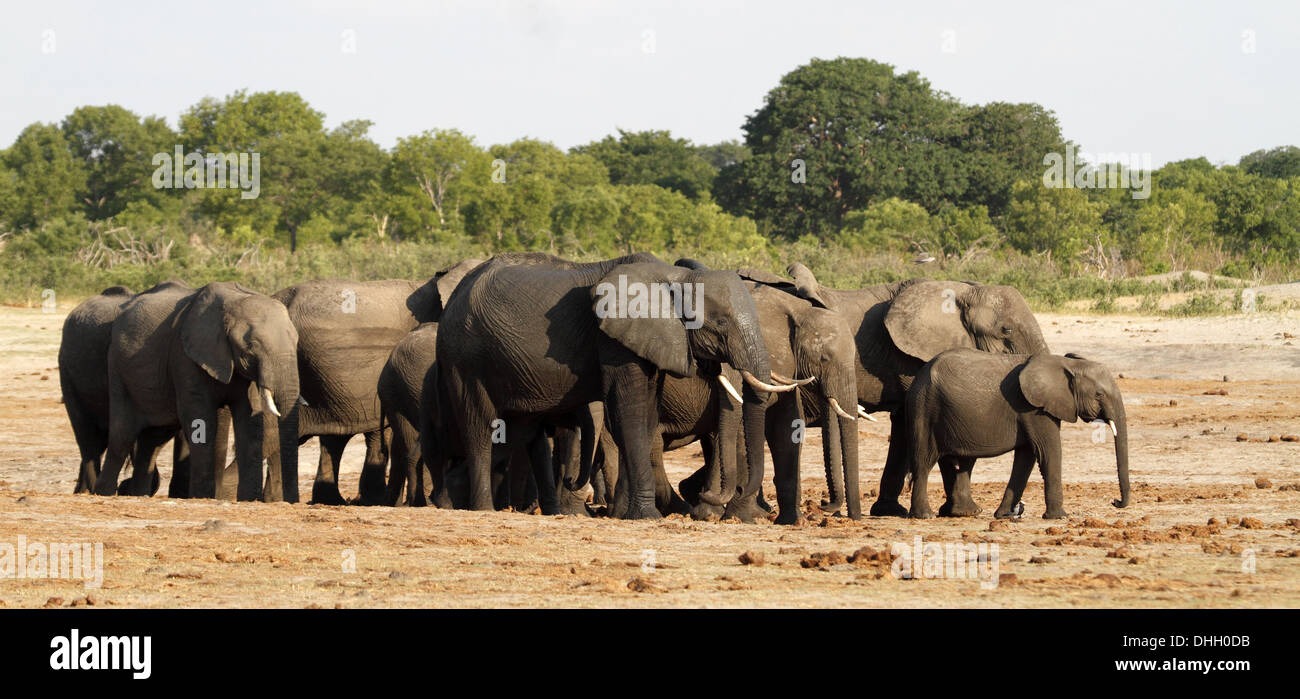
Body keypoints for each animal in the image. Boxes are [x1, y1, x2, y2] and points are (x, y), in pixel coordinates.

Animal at [94, 280, 299, 500]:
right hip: (117, 367)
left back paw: (139, 495)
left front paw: (248, 499)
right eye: (251, 346)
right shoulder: (184, 356)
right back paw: (104, 493)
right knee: (122, 435)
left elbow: (250, 423)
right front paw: (203, 496)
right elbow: (201, 421)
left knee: (151, 442)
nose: (292, 502)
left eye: (297, 341)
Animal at [435, 252, 786, 520]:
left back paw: (448, 501)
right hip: (464, 356)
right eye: (721, 323)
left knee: (516, 430)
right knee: (480, 427)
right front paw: (647, 516)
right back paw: (482, 510)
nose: (734, 491)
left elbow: (645, 417)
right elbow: (630, 412)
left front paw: (627, 515)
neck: (674, 277)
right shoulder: (615, 339)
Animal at [737, 264, 1049, 517]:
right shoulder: (910, 360)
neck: (963, 291)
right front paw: (966, 512)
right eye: (1006, 331)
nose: (826, 506)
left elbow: (902, 422)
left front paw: (891, 511)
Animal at [904, 349, 1131, 519]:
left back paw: (966, 513)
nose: (1115, 502)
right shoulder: (1033, 408)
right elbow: (1048, 452)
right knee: (924, 462)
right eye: (1099, 395)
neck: (1067, 364)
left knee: (957, 464)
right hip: (924, 407)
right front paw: (1059, 517)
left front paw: (1003, 515)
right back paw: (925, 515)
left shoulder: (1033, 410)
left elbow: (1026, 457)